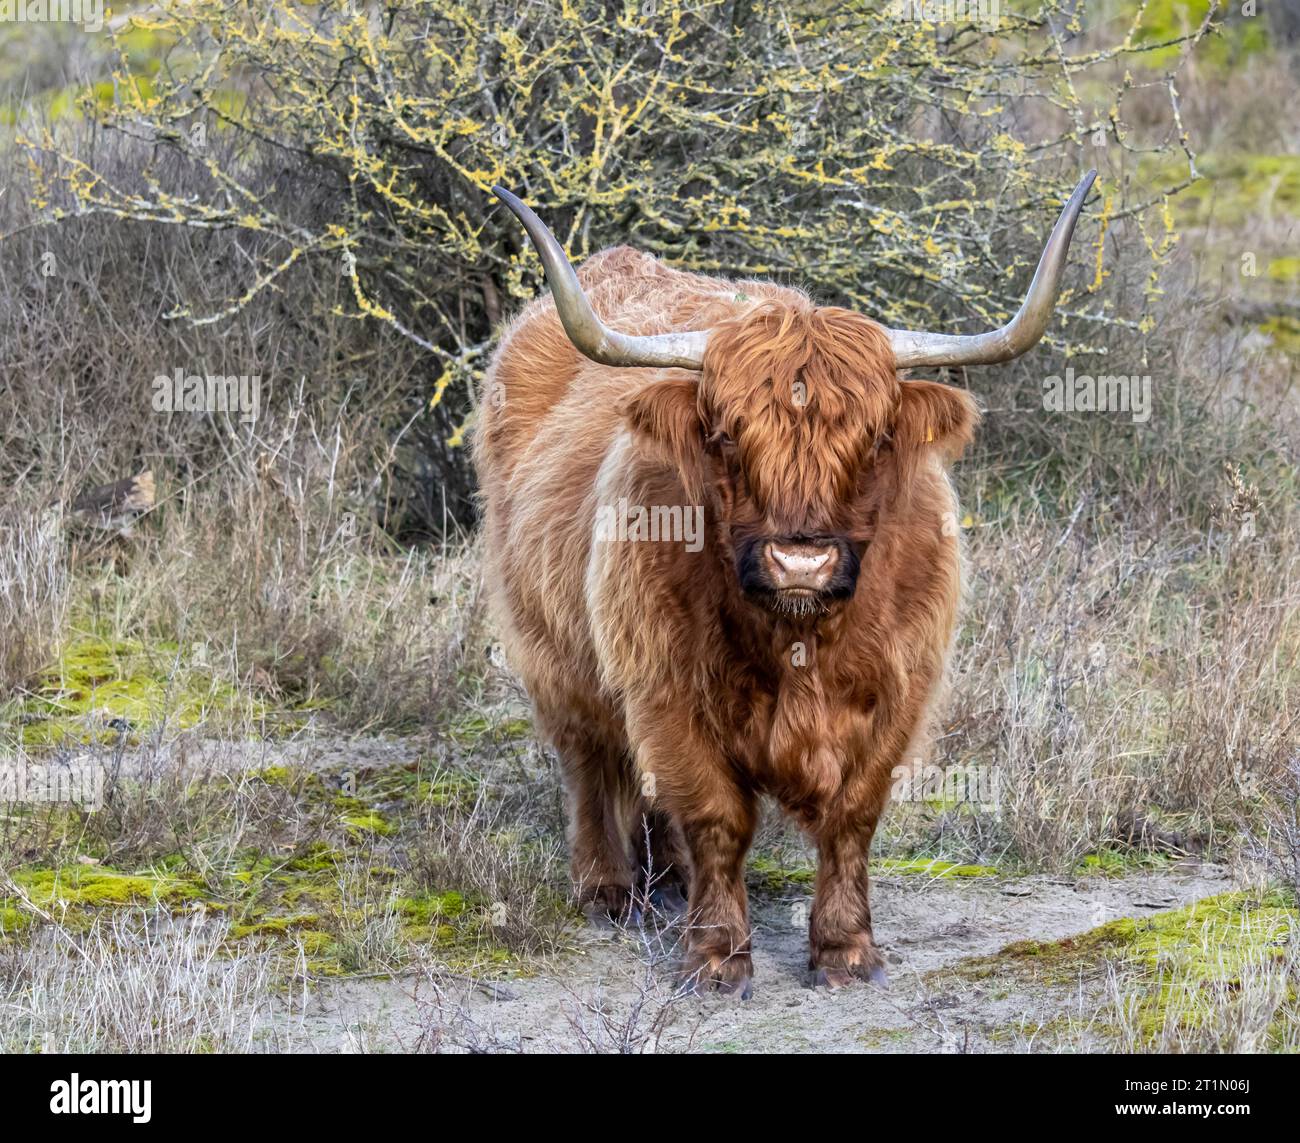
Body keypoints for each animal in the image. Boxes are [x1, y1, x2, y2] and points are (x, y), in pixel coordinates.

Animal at [473, 172, 1095, 997]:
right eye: (728, 436)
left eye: (874, 438)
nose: (801, 563)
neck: (797, 638)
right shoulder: (666, 687)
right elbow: (716, 816)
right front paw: (716, 956)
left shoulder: (899, 693)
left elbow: (852, 818)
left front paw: (846, 950)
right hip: (551, 650)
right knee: (591, 760)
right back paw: (608, 887)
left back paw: (665, 876)